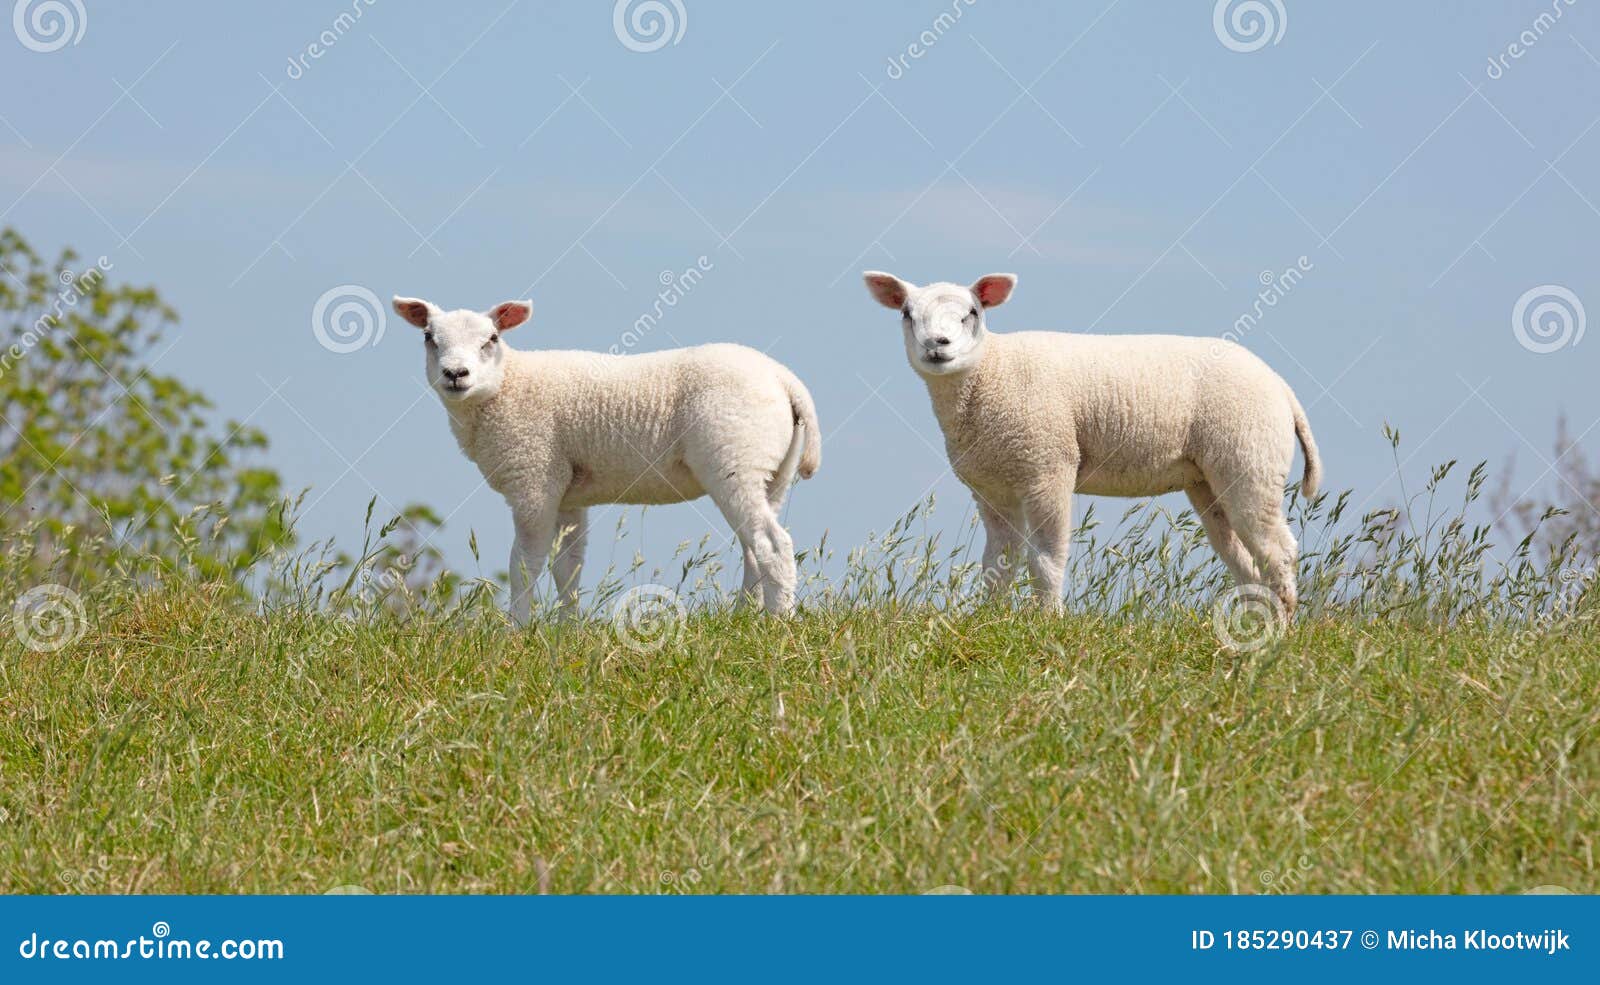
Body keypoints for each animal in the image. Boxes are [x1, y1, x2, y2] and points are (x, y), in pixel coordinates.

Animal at [391, 296, 820, 623]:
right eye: (429, 337)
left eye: (492, 339)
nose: (455, 374)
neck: (507, 385)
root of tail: (786, 381)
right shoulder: (566, 493)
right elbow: (568, 567)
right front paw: (566, 631)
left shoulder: (533, 479)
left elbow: (524, 564)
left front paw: (517, 631)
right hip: (771, 472)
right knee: (754, 548)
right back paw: (746, 619)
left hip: (734, 456)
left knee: (772, 545)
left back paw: (778, 624)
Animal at [861, 271, 1321, 620]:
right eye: (907, 313)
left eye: (972, 313)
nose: (937, 345)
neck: (990, 373)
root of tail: (1281, 387)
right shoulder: (993, 488)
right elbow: (998, 563)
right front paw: (986, 618)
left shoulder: (1048, 468)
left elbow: (1045, 560)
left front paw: (1049, 621)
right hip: (1210, 480)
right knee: (1242, 557)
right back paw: (1255, 620)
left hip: (1250, 457)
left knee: (1279, 549)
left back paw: (1282, 626)